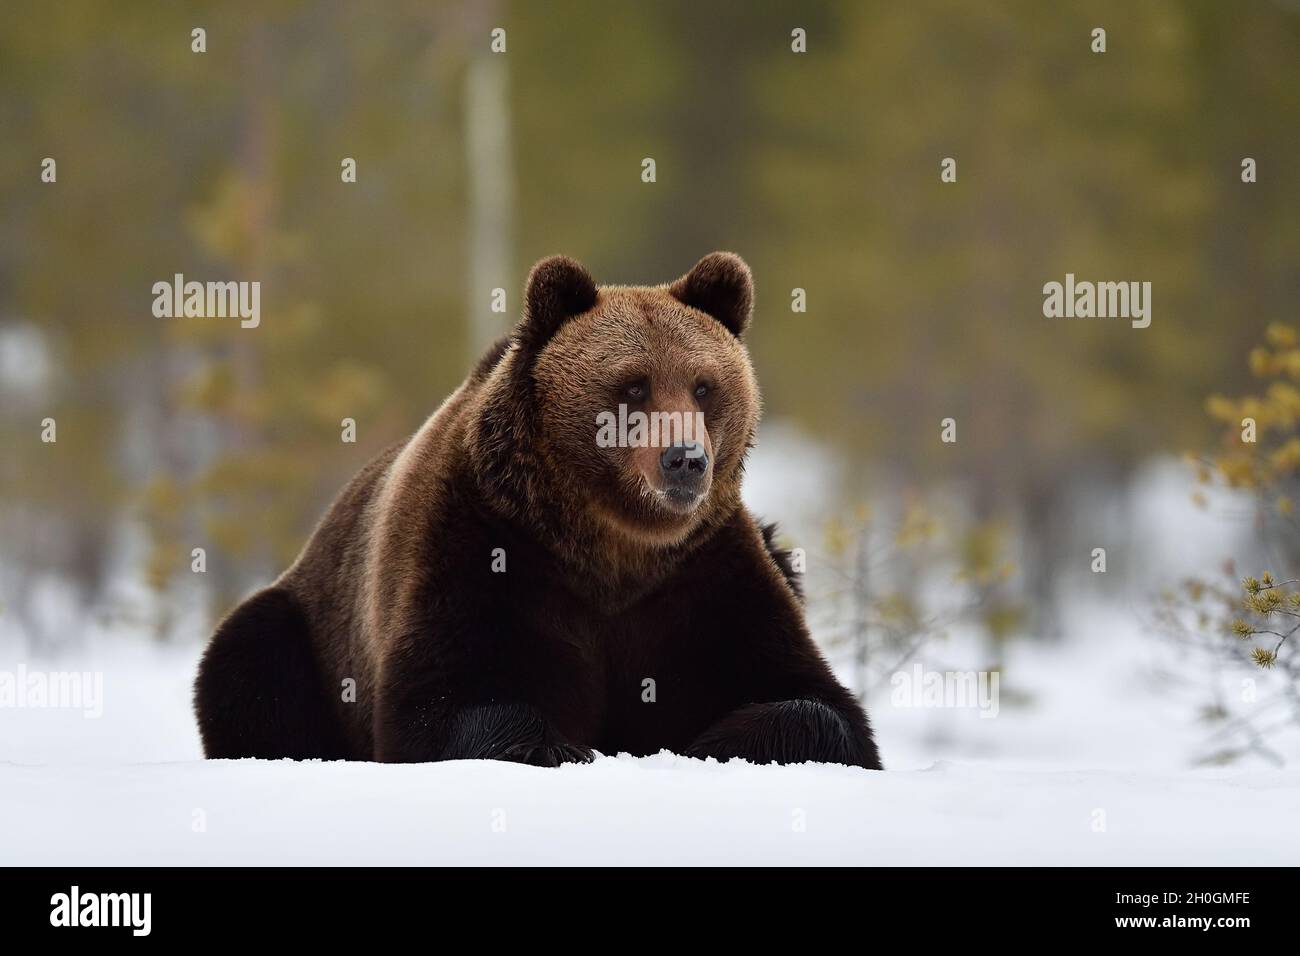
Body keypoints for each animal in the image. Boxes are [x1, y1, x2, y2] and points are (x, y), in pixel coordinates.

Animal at [193, 252, 882, 770]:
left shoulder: (700, 577)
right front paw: (565, 747)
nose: (686, 459)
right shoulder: (481, 548)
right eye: (633, 386)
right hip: (313, 623)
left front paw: (706, 742)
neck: (606, 547)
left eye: (705, 386)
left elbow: (818, 705)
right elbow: (441, 704)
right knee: (249, 656)